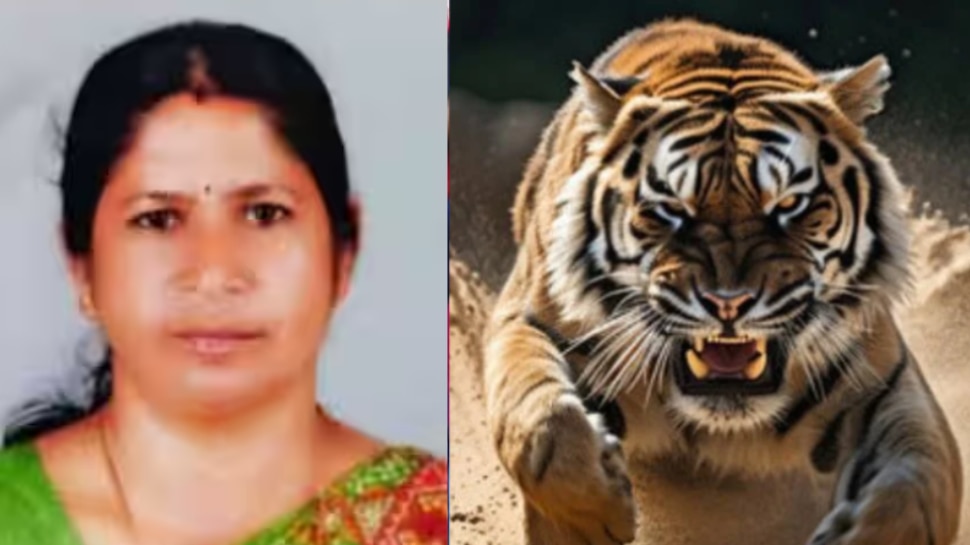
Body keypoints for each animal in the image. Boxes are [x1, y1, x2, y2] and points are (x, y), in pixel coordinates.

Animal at [482, 18, 962, 545]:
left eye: (789, 204)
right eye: (671, 207)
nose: (728, 303)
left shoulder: (882, 380)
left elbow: (919, 476)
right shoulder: (529, 321)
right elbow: (541, 413)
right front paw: (600, 507)